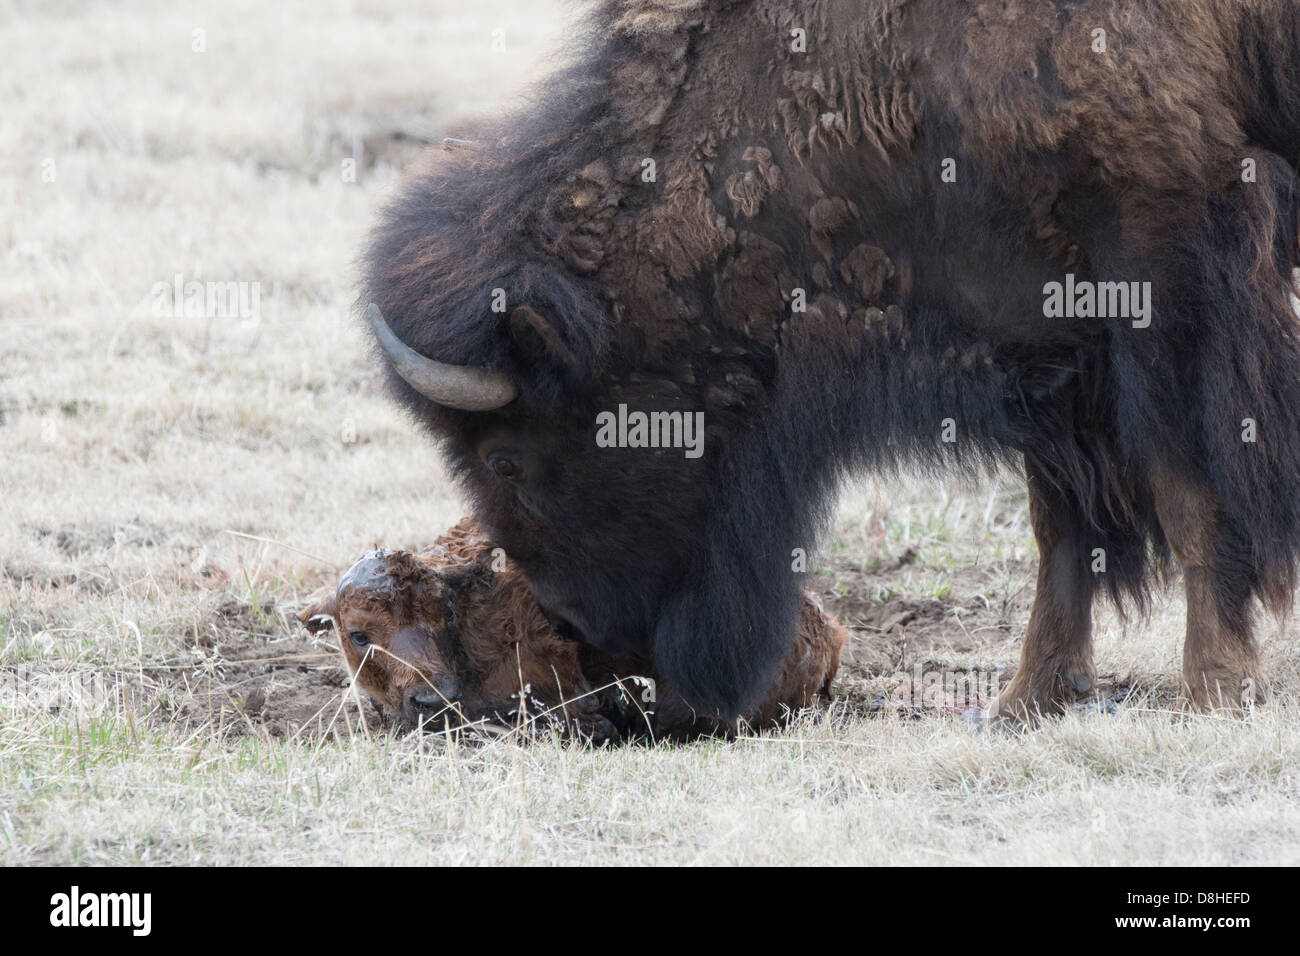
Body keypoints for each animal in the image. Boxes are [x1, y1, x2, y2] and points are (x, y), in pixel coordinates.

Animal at [360, 0, 1300, 723]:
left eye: (505, 458)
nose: (581, 625)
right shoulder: (1037, 324)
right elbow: (1058, 521)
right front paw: (1028, 700)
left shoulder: (1160, 268)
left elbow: (1188, 488)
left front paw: (1217, 689)